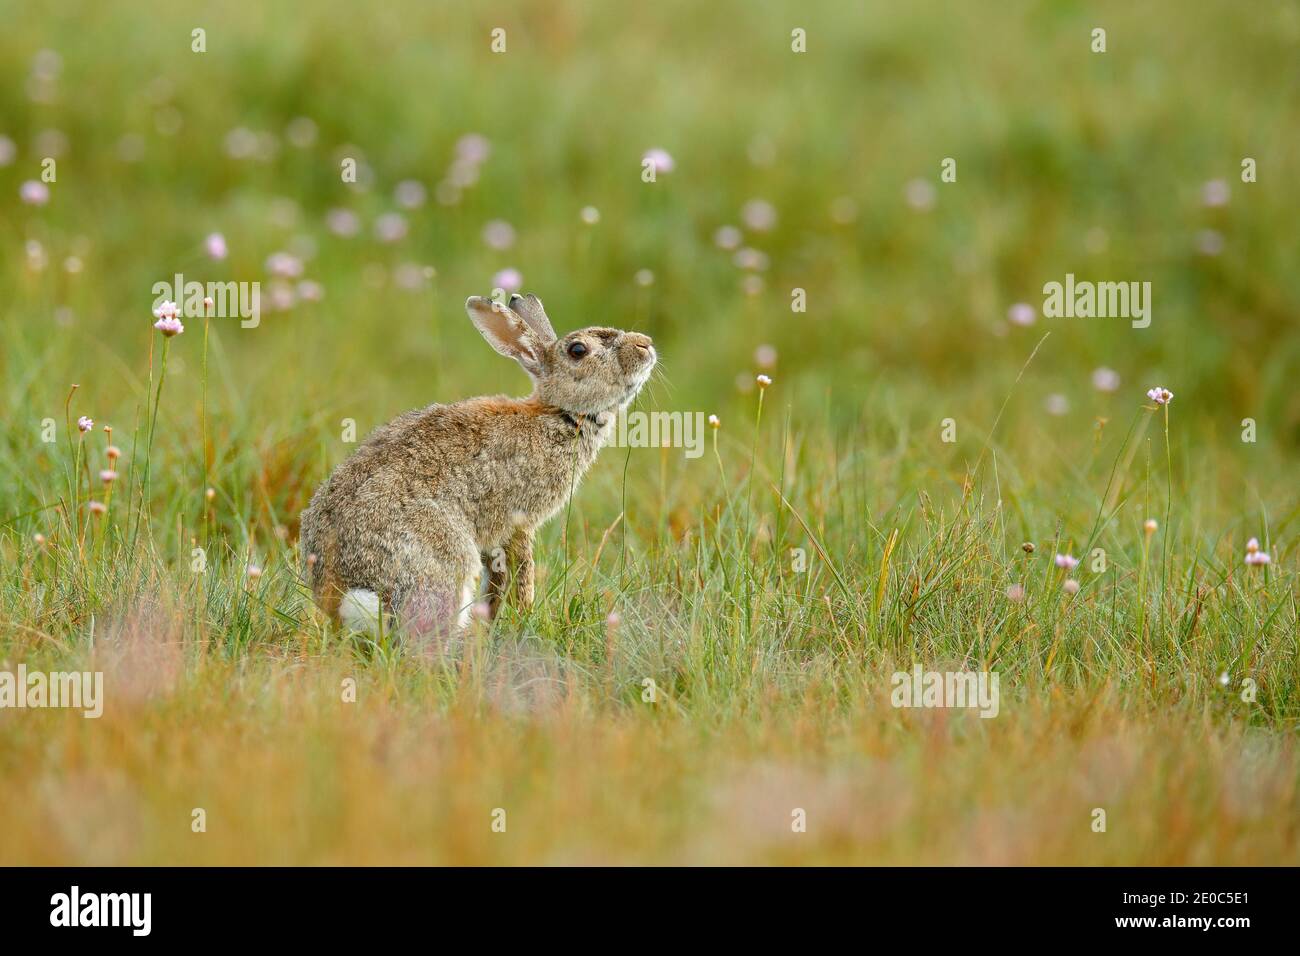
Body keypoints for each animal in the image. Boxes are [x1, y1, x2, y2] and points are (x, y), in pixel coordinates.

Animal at [299, 292, 656, 636]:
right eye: (578, 350)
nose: (646, 344)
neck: (559, 413)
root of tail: (342, 594)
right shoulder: (517, 522)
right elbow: (519, 571)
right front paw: (521, 614)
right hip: (442, 557)